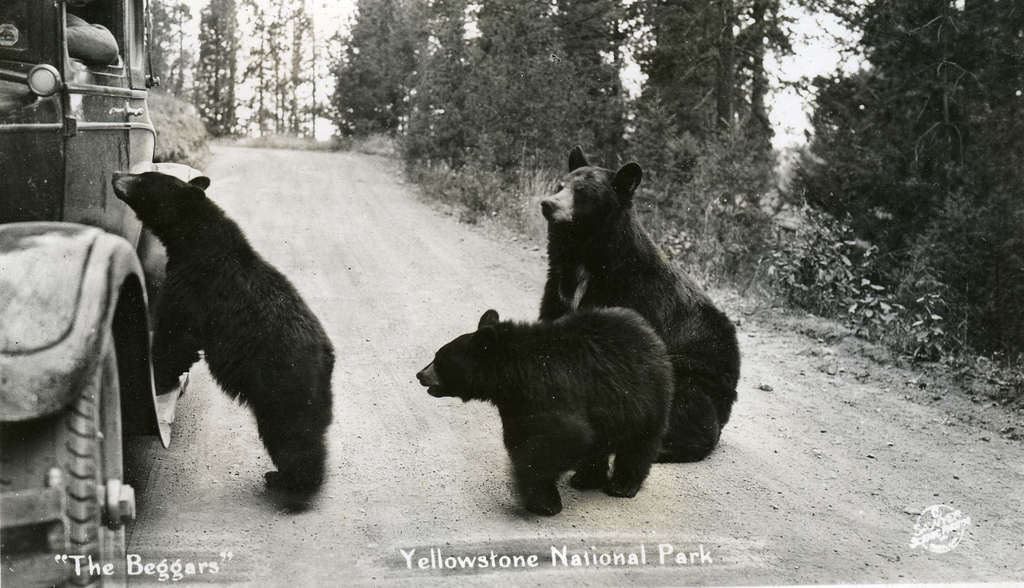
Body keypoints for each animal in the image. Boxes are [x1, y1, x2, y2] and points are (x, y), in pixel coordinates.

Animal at [111, 171, 334, 494]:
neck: (194, 239)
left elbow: (178, 333)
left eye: (143, 179)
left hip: (283, 384)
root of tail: (327, 357)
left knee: (291, 434)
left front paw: (158, 379)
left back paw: (289, 481)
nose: (116, 175)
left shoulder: (194, 286)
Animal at [416, 308, 674, 516]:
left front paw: (538, 499)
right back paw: (586, 478)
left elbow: (560, 438)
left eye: (439, 359)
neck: (511, 375)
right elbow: (522, 438)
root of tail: (648, 330)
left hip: (646, 396)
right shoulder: (518, 406)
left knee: (639, 444)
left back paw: (623, 485)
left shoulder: (548, 391)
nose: (419, 374)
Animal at [538, 145, 741, 463]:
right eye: (560, 186)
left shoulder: (628, 296)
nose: (547, 204)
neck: (587, 255)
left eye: (582, 193)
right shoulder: (559, 282)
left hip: (692, 371)